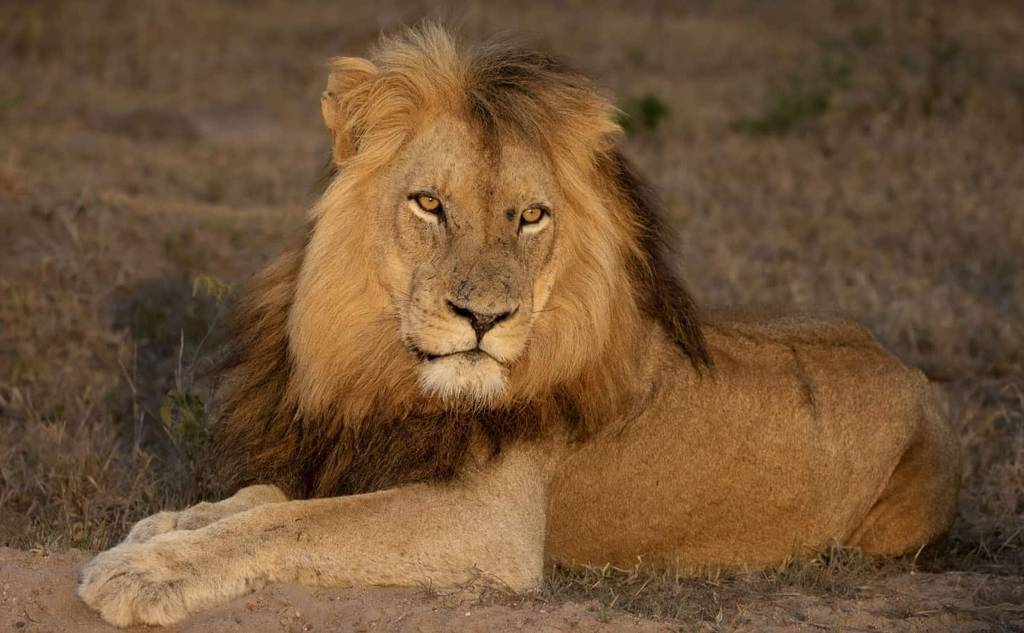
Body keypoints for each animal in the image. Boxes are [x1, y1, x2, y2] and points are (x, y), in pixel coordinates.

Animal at [78, 25, 961, 627]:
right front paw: (159, 527)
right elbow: (259, 498)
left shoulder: (490, 523)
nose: (483, 317)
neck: (384, 367)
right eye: (429, 203)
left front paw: (145, 571)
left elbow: (289, 522)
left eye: (532, 216)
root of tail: (914, 374)